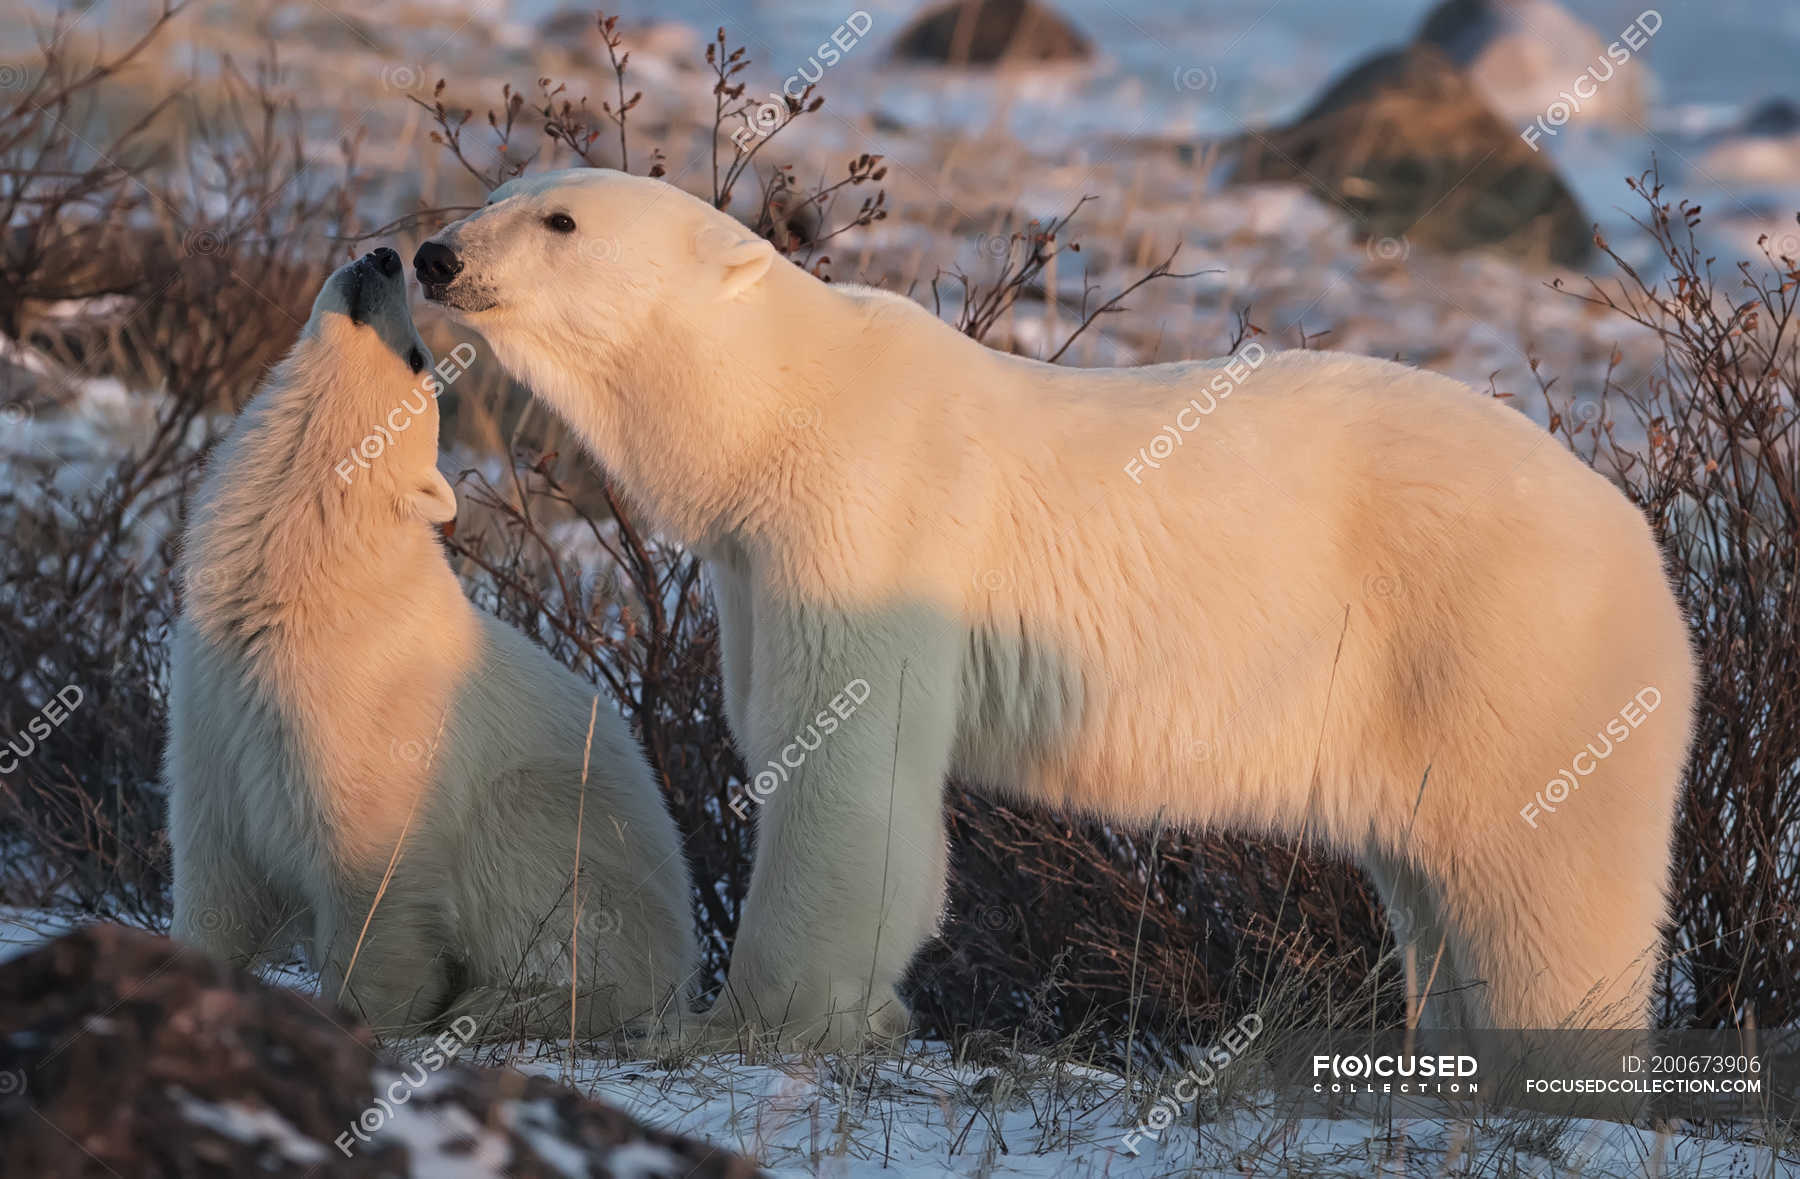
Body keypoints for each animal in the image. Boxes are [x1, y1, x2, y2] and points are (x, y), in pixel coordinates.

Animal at [165, 246, 698, 1039]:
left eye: (417, 357)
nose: (387, 256)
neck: (309, 577)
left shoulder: (367, 713)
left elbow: (378, 880)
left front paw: (364, 1016)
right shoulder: (215, 702)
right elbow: (216, 871)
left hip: (580, 833)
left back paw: (510, 1002)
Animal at [414, 169, 1696, 1049]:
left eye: (559, 220)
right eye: (503, 190)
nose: (431, 254)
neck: (778, 410)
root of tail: (1643, 545)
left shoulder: (867, 517)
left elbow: (845, 767)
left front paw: (754, 1016)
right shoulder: (753, 564)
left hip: (1506, 643)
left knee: (1545, 879)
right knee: (1432, 888)